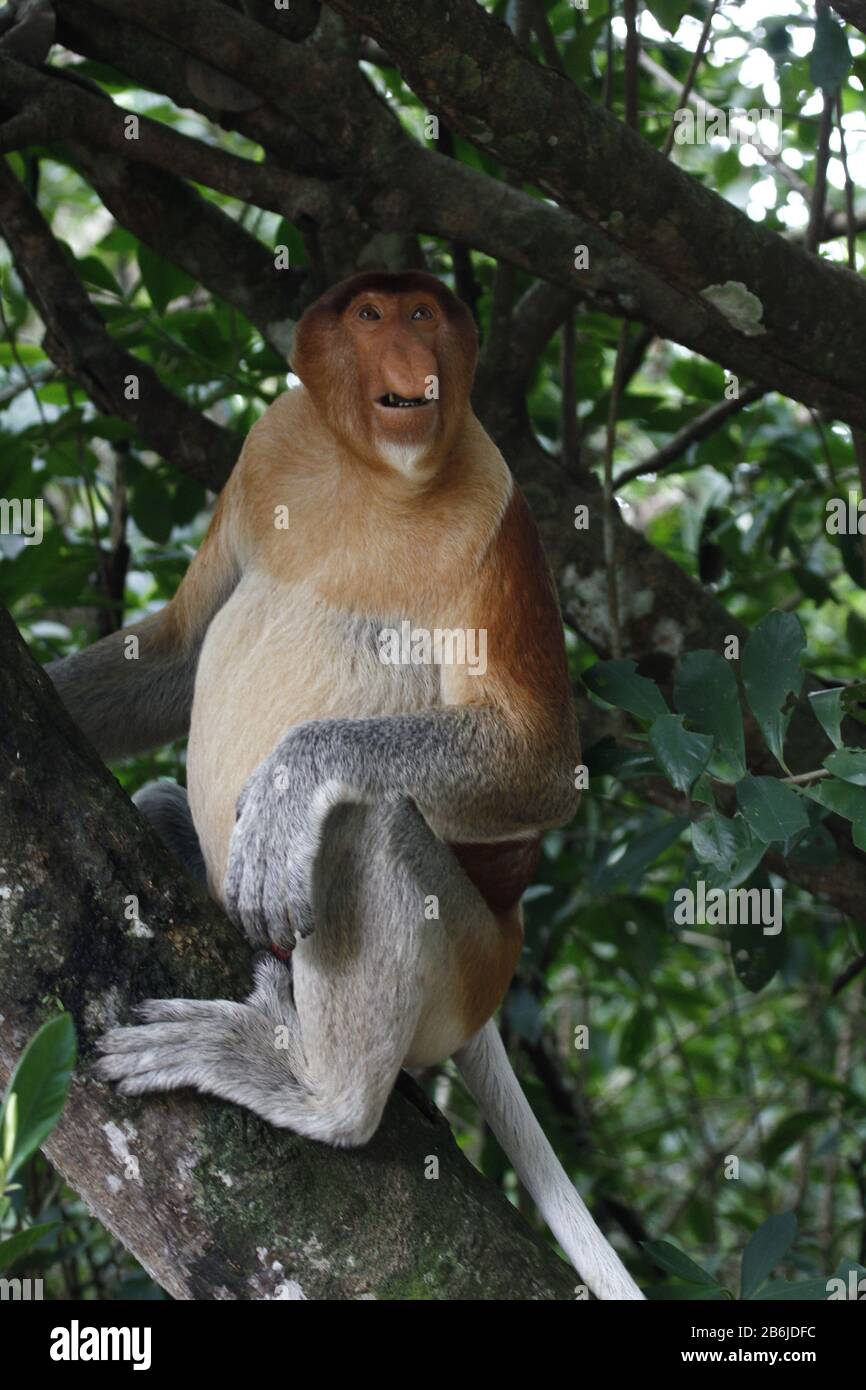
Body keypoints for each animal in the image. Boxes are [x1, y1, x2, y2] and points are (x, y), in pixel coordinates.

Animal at [48, 270, 643, 1301]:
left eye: (423, 315)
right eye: (372, 315)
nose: (414, 363)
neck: (370, 477)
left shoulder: (498, 516)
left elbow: (539, 763)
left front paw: (292, 780)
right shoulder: (266, 451)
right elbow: (178, 646)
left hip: (464, 958)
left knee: (367, 824)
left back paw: (318, 1091)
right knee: (177, 807)